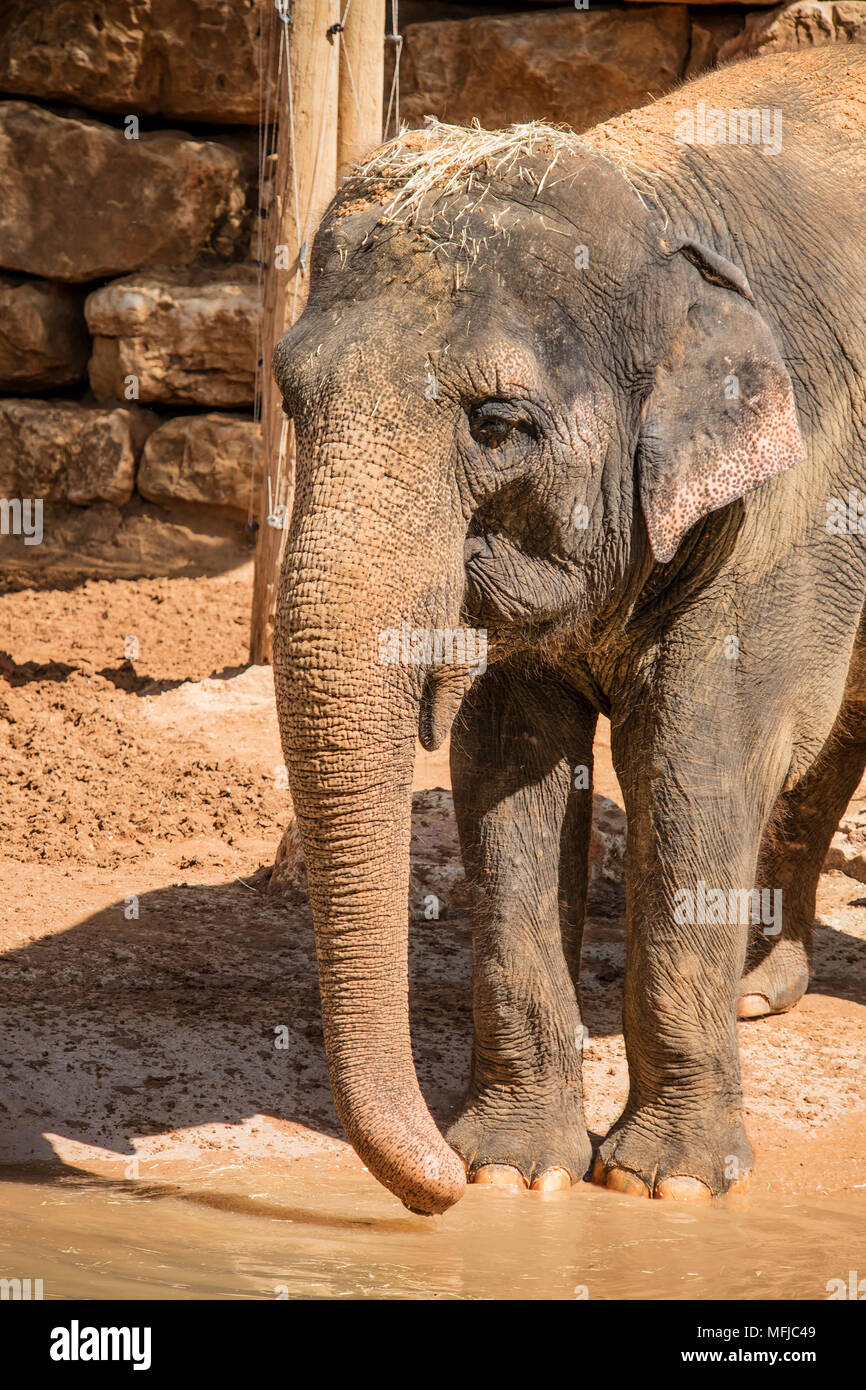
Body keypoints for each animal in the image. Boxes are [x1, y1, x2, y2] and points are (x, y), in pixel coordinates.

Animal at [271, 48, 866, 1215]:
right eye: (288, 392)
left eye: (498, 425)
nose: (434, 1192)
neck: (650, 207)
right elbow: (508, 764)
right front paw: (512, 1173)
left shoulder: (782, 501)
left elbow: (694, 760)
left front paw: (665, 1187)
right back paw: (761, 990)